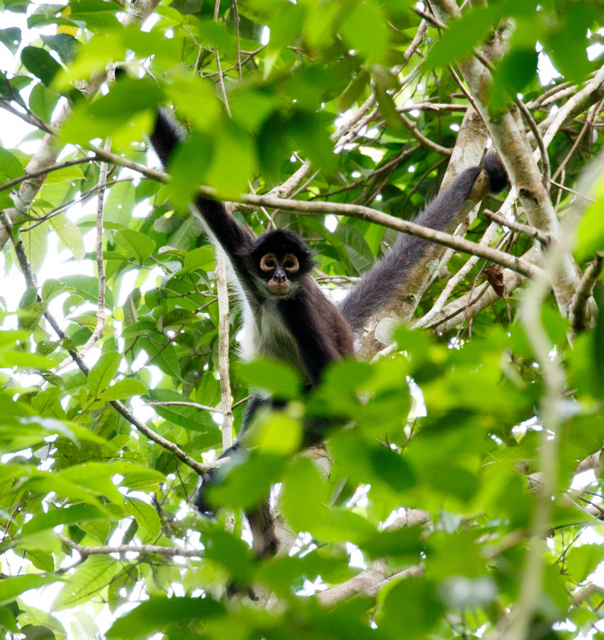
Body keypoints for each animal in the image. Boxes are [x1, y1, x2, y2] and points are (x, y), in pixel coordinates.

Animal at [149, 109, 508, 557]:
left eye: (289, 263)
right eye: (269, 262)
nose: (281, 277)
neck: (273, 301)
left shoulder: (299, 309)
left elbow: (338, 410)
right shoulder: (245, 256)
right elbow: (192, 180)